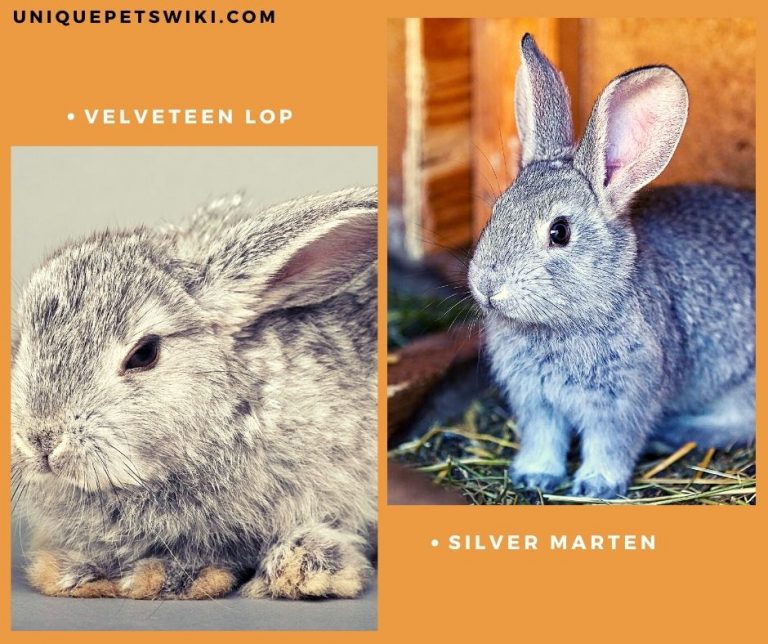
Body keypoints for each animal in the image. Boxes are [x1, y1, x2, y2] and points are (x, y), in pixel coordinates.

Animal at [468, 34, 755, 499]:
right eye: (497, 211)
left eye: (560, 232)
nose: (488, 285)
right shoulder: (536, 403)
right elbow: (543, 439)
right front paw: (534, 476)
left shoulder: (624, 401)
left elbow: (611, 444)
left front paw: (595, 485)